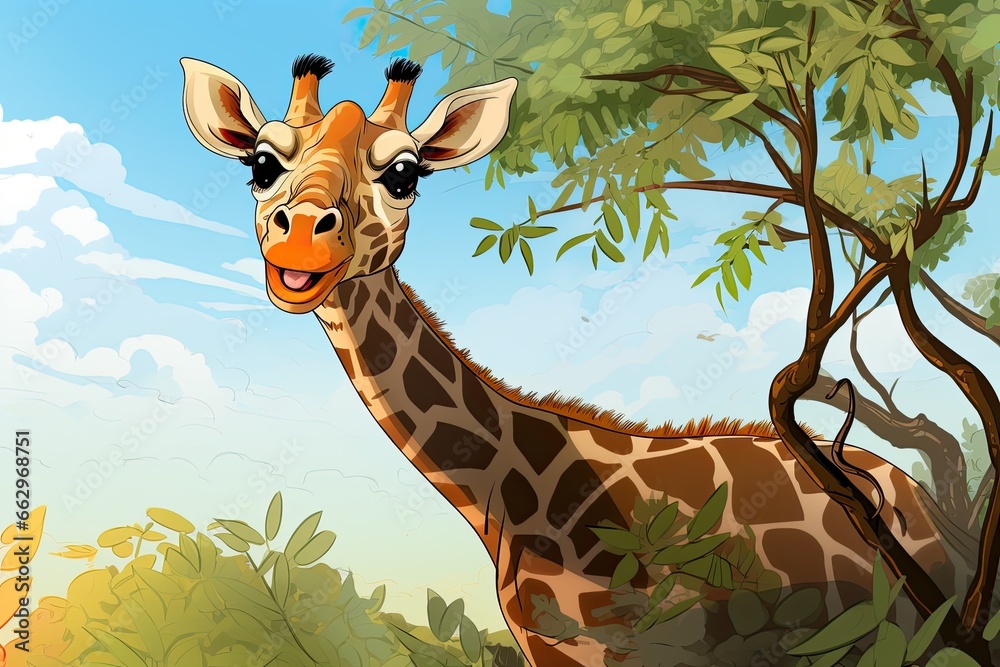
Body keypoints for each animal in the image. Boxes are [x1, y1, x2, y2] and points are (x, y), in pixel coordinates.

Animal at [180, 54, 973, 666]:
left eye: (405, 175)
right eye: (261, 164)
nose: (300, 245)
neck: (507, 505)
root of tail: (929, 507)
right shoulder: (552, 651)